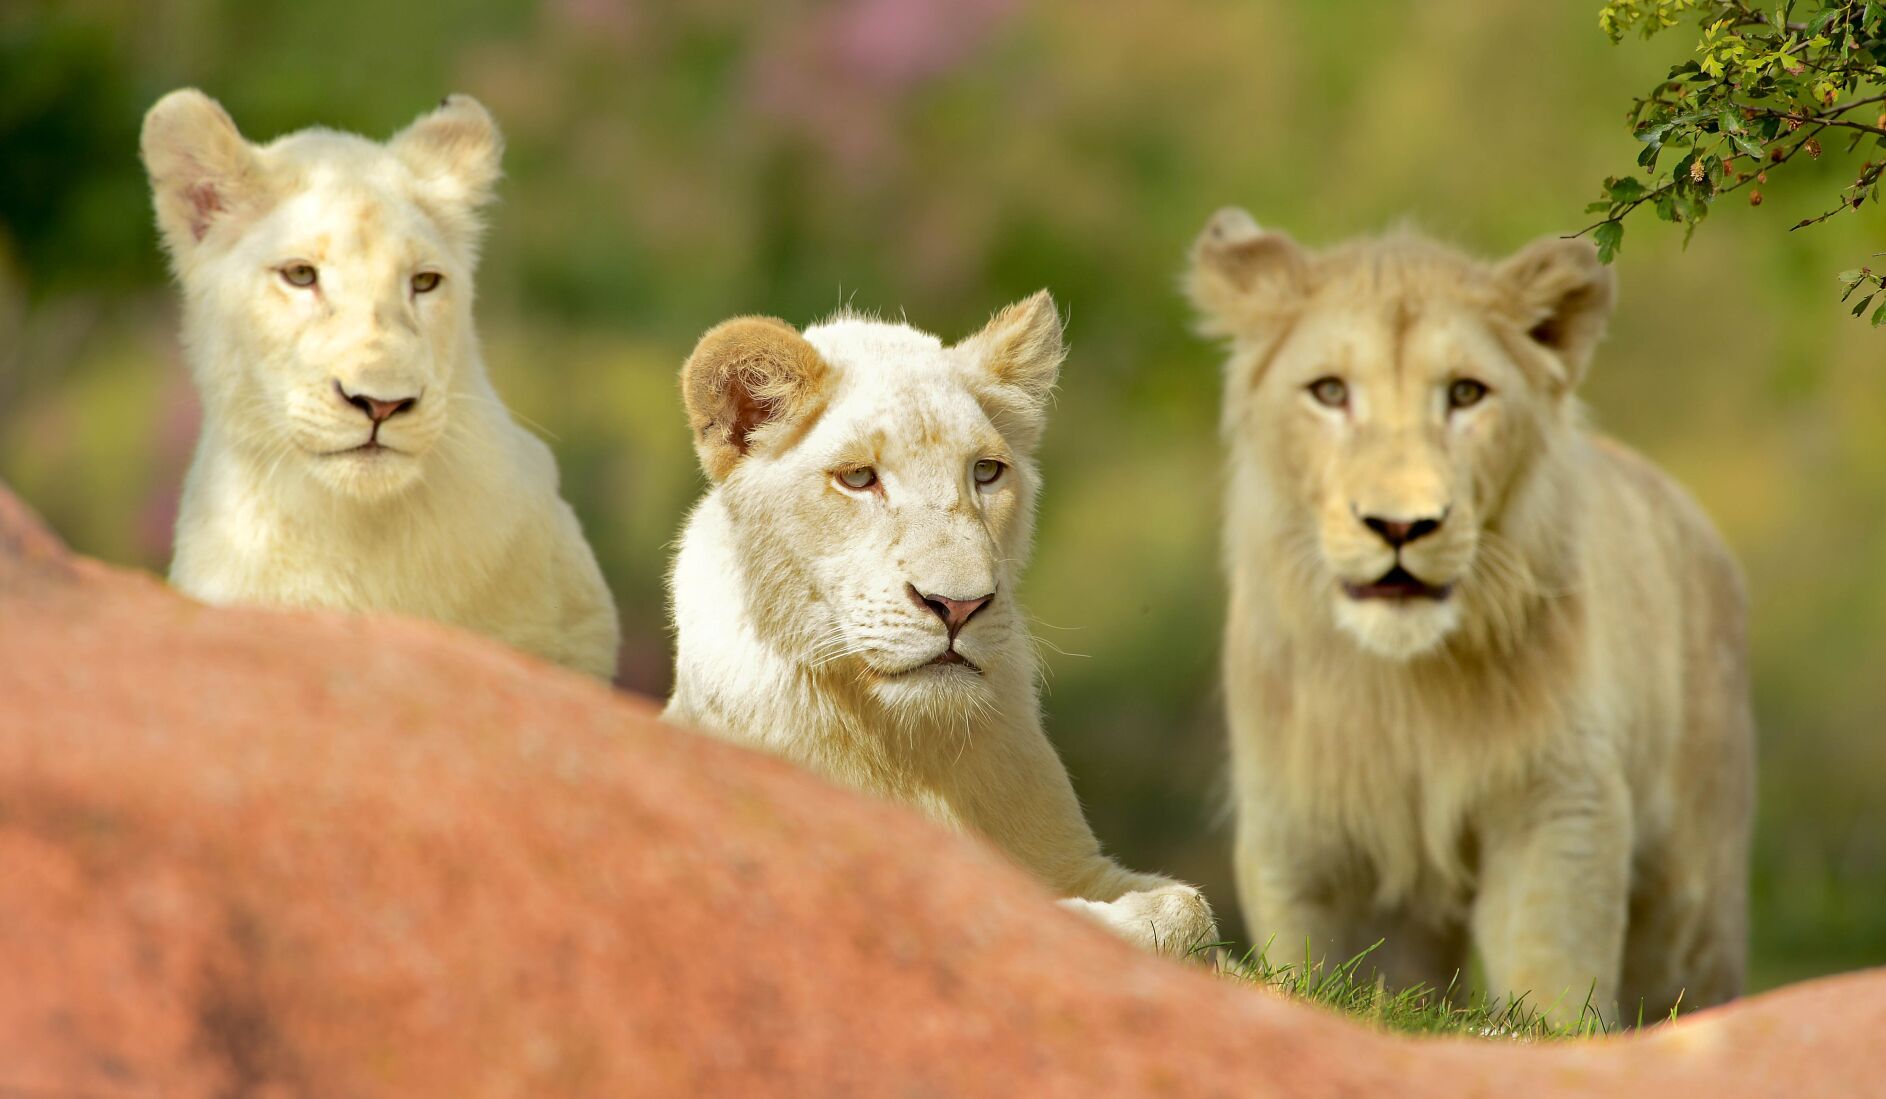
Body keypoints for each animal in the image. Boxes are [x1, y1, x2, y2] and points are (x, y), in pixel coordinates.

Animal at [663, 294, 1217, 957]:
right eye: (858, 478)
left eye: (985, 472)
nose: (958, 606)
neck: (912, 745)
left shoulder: (1076, 861)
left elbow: (1190, 908)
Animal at [1188, 209, 1754, 1024]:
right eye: (1329, 392)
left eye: (1465, 393)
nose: (1400, 525)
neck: (1406, 688)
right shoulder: (1300, 832)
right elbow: (1309, 970)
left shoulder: (1557, 802)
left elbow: (1551, 970)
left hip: (1693, 894)